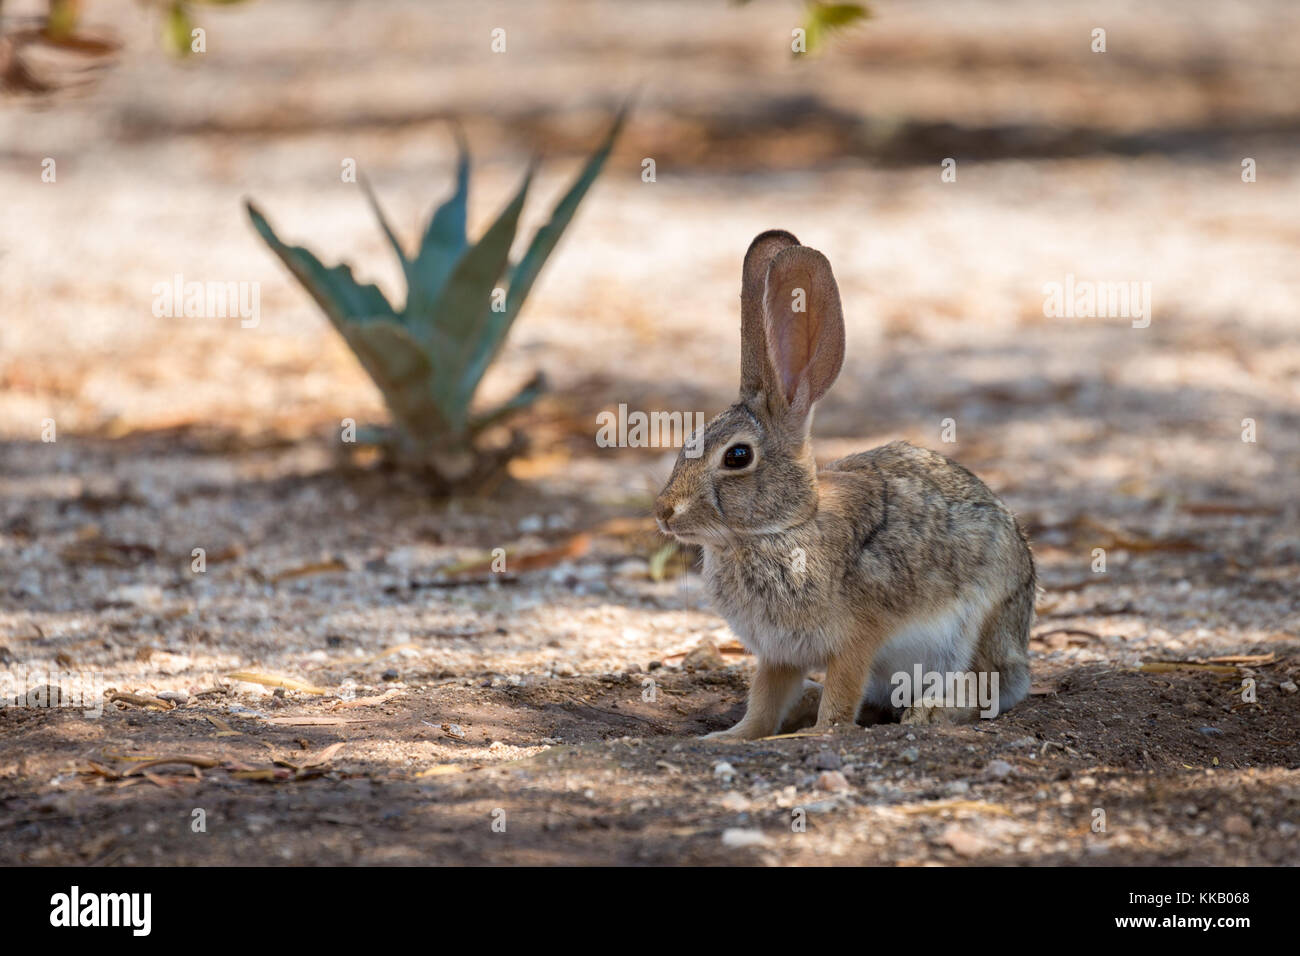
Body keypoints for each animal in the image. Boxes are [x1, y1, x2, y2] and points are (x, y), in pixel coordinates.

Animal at [653, 230, 1036, 740]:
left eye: (737, 457)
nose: (663, 511)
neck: (782, 528)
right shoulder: (778, 652)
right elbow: (764, 699)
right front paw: (732, 736)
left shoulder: (856, 638)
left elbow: (842, 691)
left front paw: (819, 733)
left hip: (977, 630)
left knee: (985, 689)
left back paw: (929, 712)